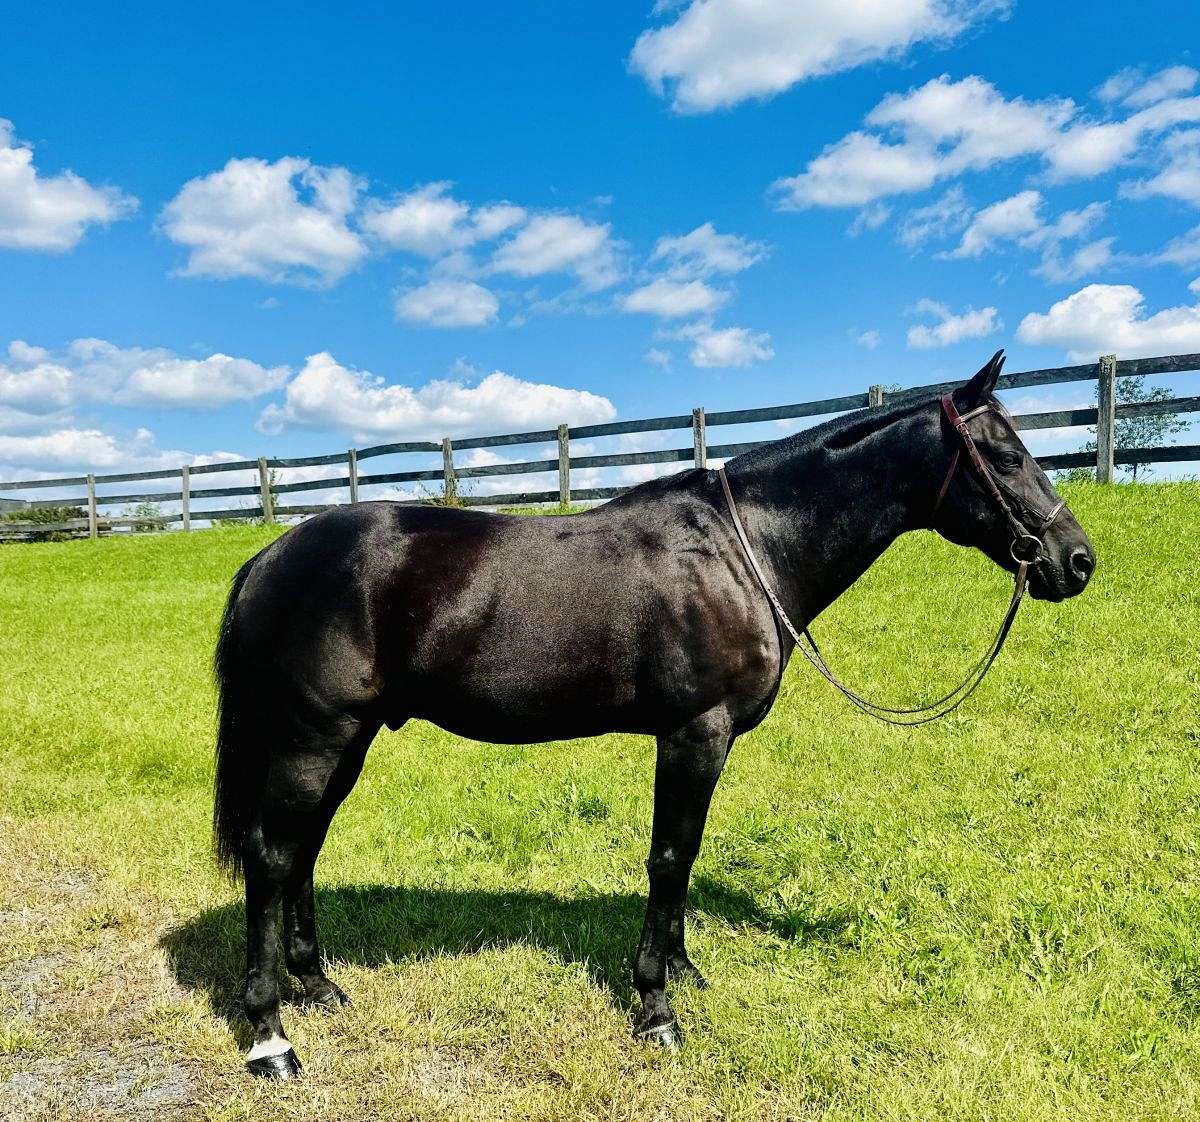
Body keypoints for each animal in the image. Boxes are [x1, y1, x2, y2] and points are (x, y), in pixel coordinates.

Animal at [212, 352, 1095, 1078]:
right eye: (1007, 455)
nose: (1077, 562)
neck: (746, 551)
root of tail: (271, 555)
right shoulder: (693, 733)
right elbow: (669, 858)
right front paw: (656, 1010)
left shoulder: (711, 741)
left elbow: (688, 855)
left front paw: (683, 971)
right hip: (313, 738)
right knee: (272, 855)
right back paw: (271, 1036)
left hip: (347, 740)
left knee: (303, 852)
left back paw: (318, 984)